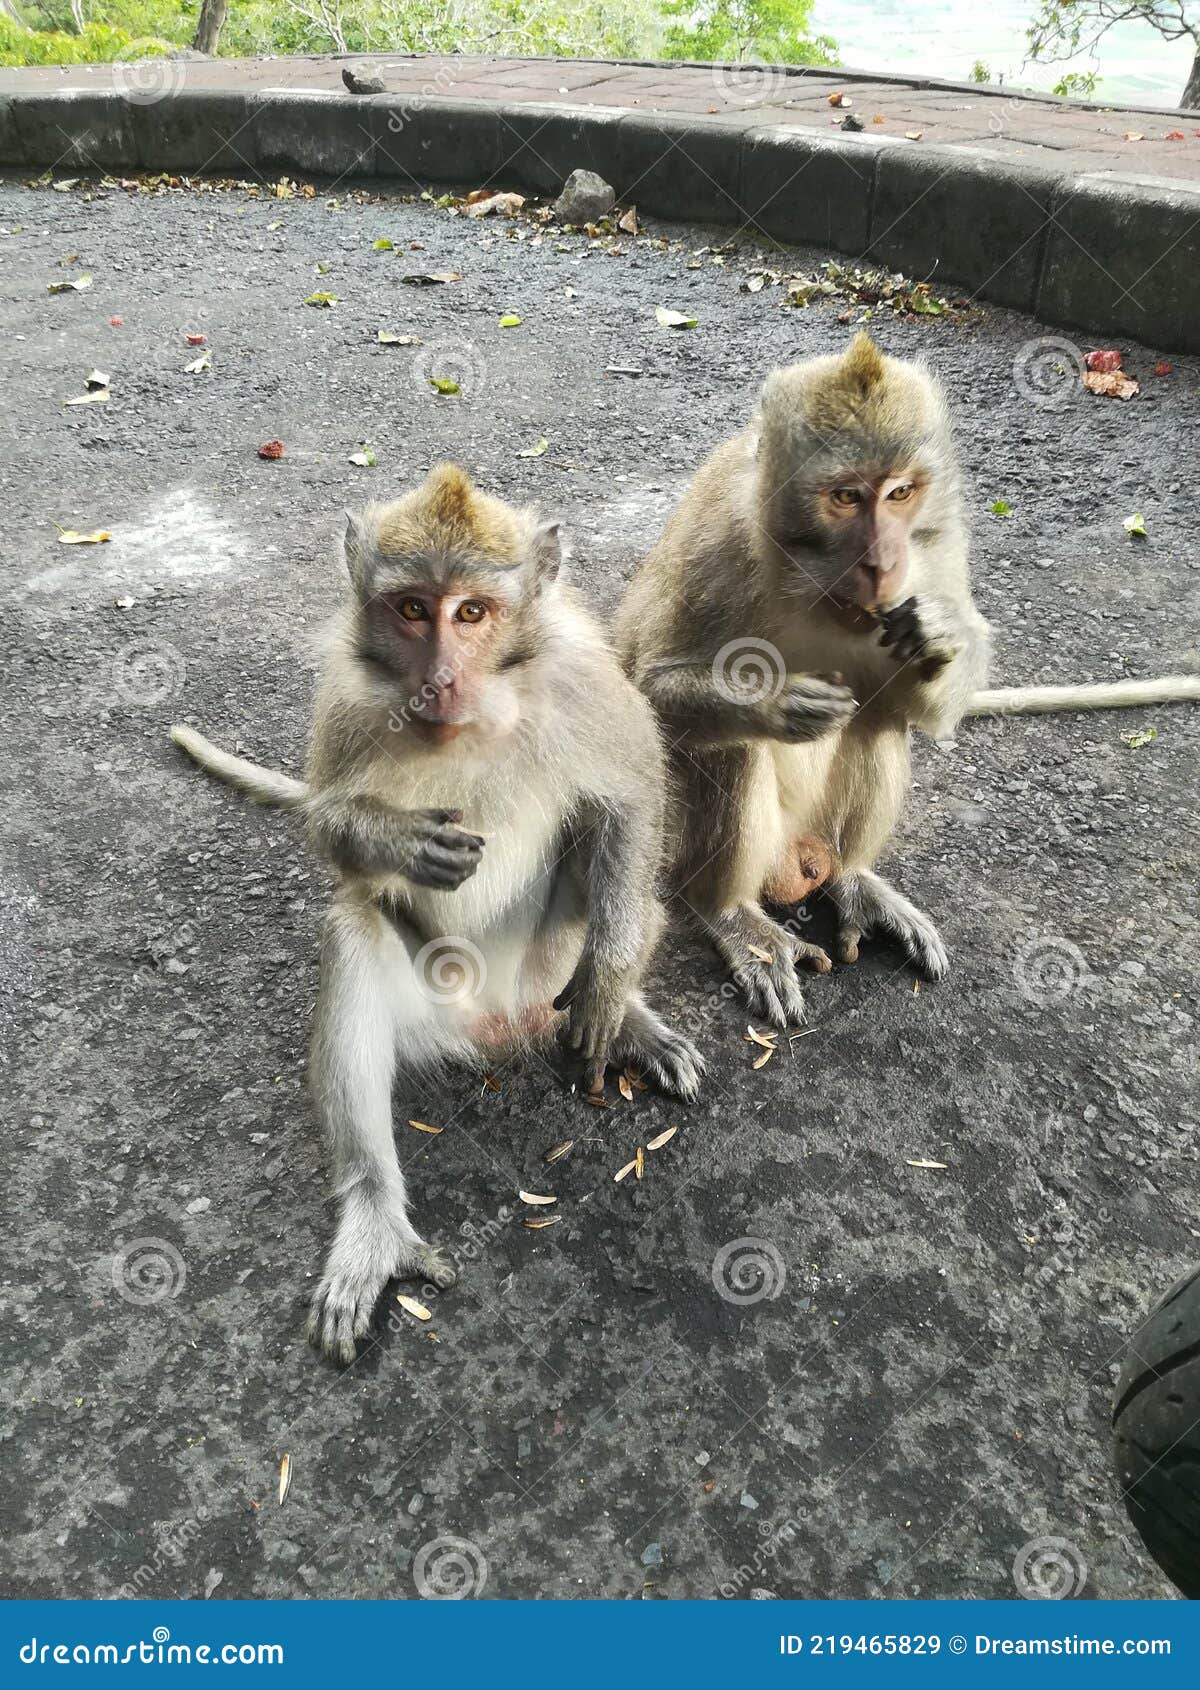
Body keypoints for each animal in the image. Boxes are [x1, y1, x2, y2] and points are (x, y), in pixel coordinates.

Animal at [171, 465, 703, 1363]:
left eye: (474, 613)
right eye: (414, 608)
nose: (440, 679)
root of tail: (502, 1027)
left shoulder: (579, 676)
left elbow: (630, 793)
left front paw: (609, 989)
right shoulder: (347, 695)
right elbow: (331, 827)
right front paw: (394, 840)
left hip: (547, 971)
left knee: (594, 844)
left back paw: (624, 1012)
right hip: (433, 1010)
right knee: (353, 932)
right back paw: (374, 1217)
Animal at [616, 333, 1200, 1028]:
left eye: (899, 494)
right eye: (846, 497)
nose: (884, 562)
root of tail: (797, 860)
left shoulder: (936, 546)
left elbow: (919, 705)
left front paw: (939, 635)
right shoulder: (719, 543)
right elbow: (644, 689)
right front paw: (776, 700)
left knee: (877, 718)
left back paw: (852, 880)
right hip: (671, 839)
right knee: (734, 750)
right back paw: (730, 914)